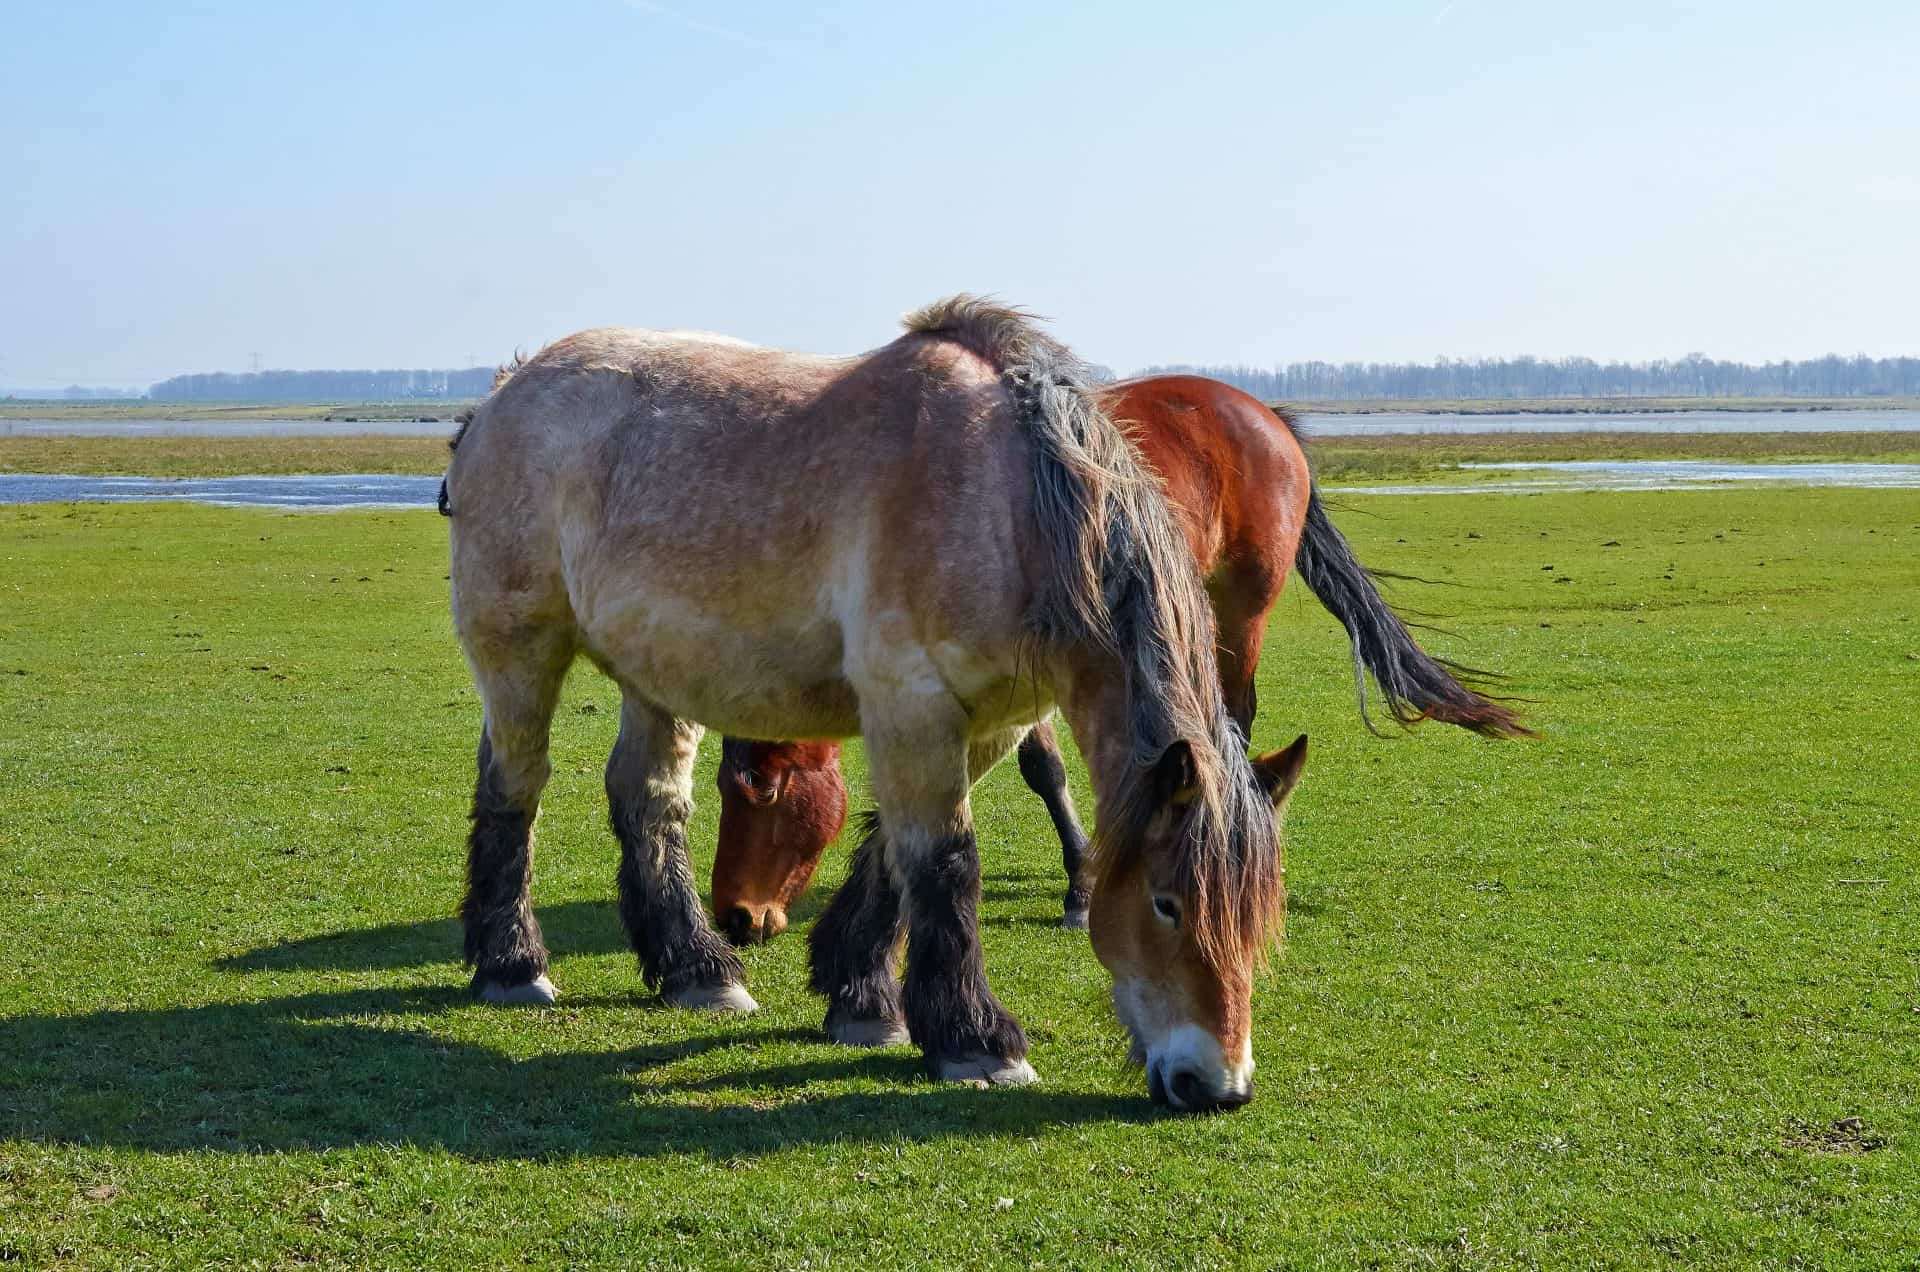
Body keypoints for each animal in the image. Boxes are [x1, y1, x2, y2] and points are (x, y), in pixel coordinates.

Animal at [443, 297, 1307, 1109]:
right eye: (1167, 904)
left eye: (1258, 919)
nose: (1218, 1084)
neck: (1007, 500)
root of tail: (506, 387)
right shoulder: (913, 703)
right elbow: (948, 862)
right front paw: (975, 1041)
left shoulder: (990, 720)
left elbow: (897, 852)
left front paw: (861, 997)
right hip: (520, 650)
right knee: (514, 787)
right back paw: (513, 965)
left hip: (655, 673)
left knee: (648, 801)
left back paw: (698, 970)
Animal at [711, 374, 1532, 946]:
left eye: (762, 789)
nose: (735, 917)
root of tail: (1265, 416)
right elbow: (1038, 765)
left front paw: (1079, 889)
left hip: (1240, 607)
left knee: (1235, 717)